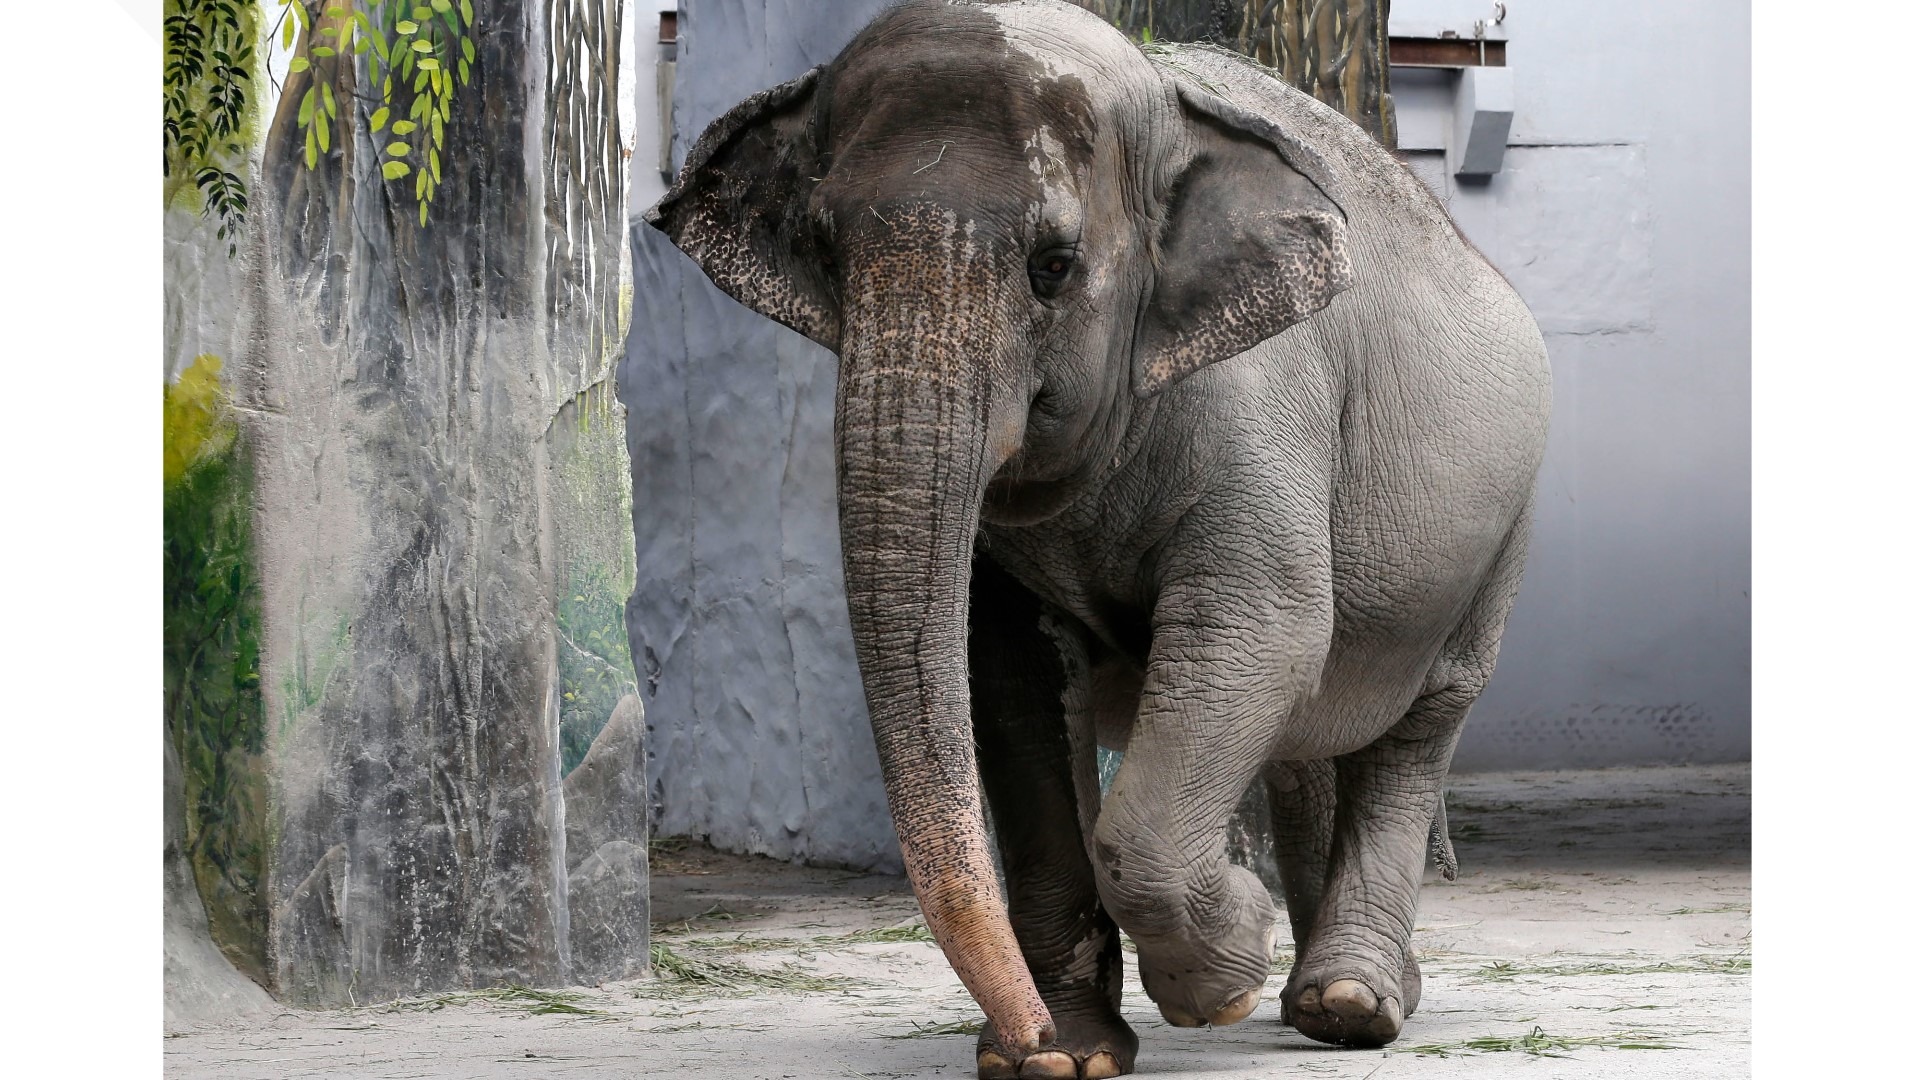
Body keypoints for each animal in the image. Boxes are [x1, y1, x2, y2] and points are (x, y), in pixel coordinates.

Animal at [647, 1, 1550, 1076]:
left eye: (1054, 267)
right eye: (824, 251)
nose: (1026, 1037)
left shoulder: (1263, 415)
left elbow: (1259, 636)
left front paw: (1221, 981)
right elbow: (1010, 682)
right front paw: (1071, 1054)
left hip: (1500, 529)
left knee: (1417, 726)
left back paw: (1349, 1006)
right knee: (1308, 742)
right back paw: (1336, 995)